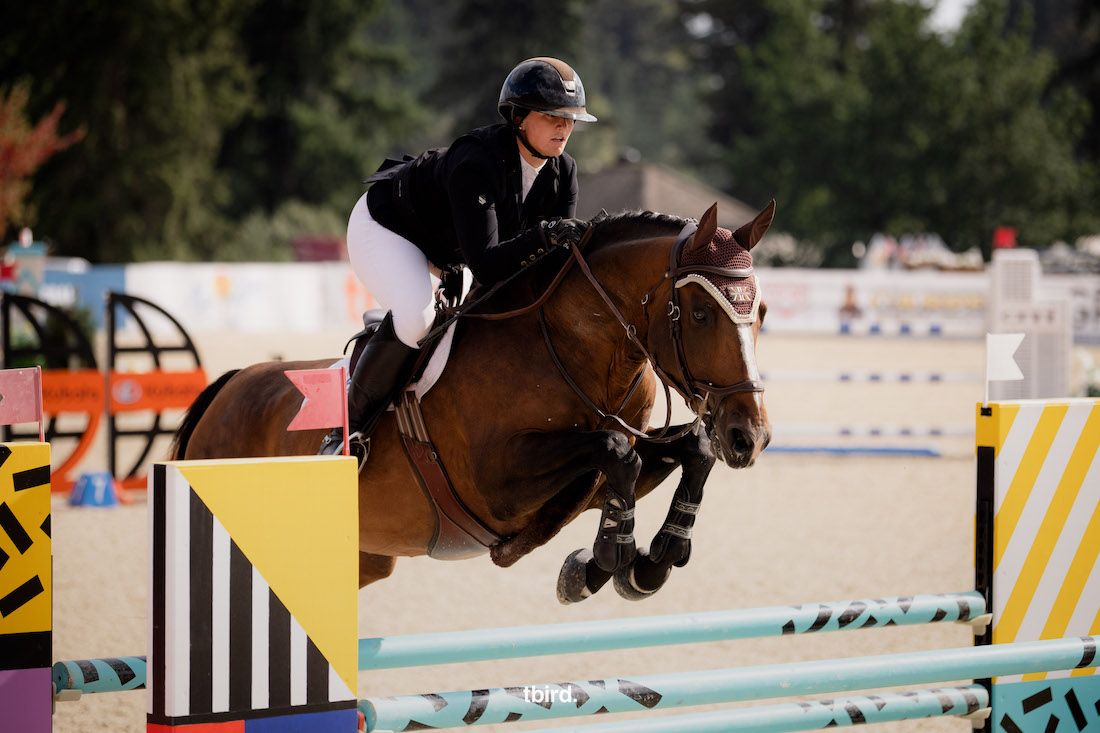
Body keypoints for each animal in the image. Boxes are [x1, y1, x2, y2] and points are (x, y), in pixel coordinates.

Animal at [170, 201, 773, 604]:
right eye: (700, 314)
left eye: (761, 313)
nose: (749, 437)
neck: (575, 347)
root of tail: (229, 386)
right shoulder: (496, 486)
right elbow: (612, 450)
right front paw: (604, 561)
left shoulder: (608, 463)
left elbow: (687, 451)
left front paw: (645, 563)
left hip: (364, 558)